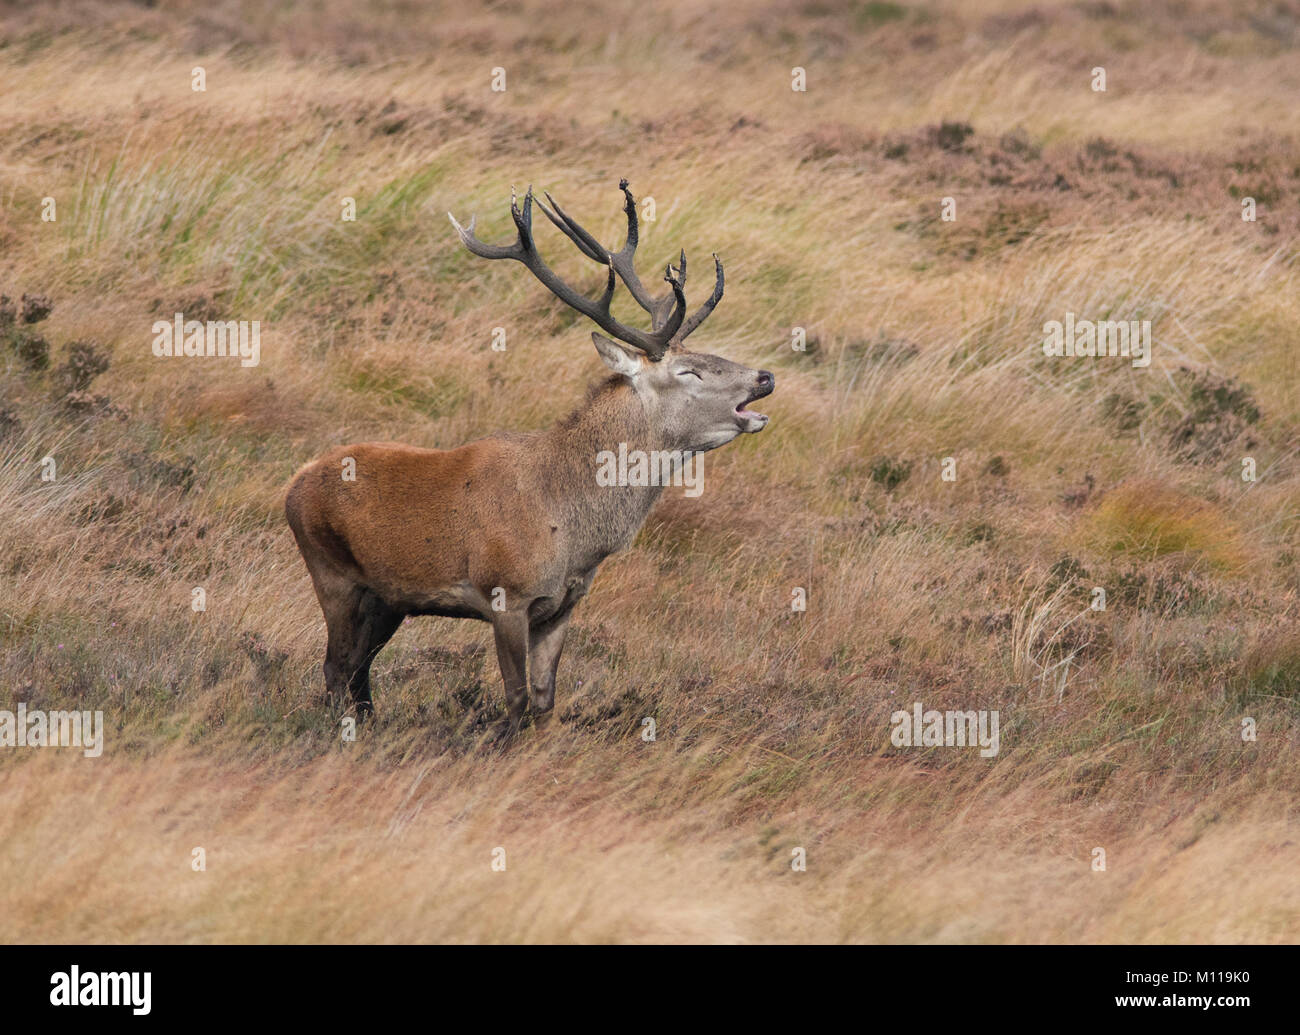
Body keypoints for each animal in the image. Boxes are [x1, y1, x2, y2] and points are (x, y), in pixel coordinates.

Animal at [284, 180, 774, 734]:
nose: (765, 377)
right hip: (331, 570)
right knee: (336, 666)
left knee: (358, 671)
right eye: (689, 371)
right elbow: (515, 700)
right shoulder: (506, 593)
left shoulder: (561, 606)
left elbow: (544, 702)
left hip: (388, 597)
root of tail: (294, 483)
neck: (572, 531)